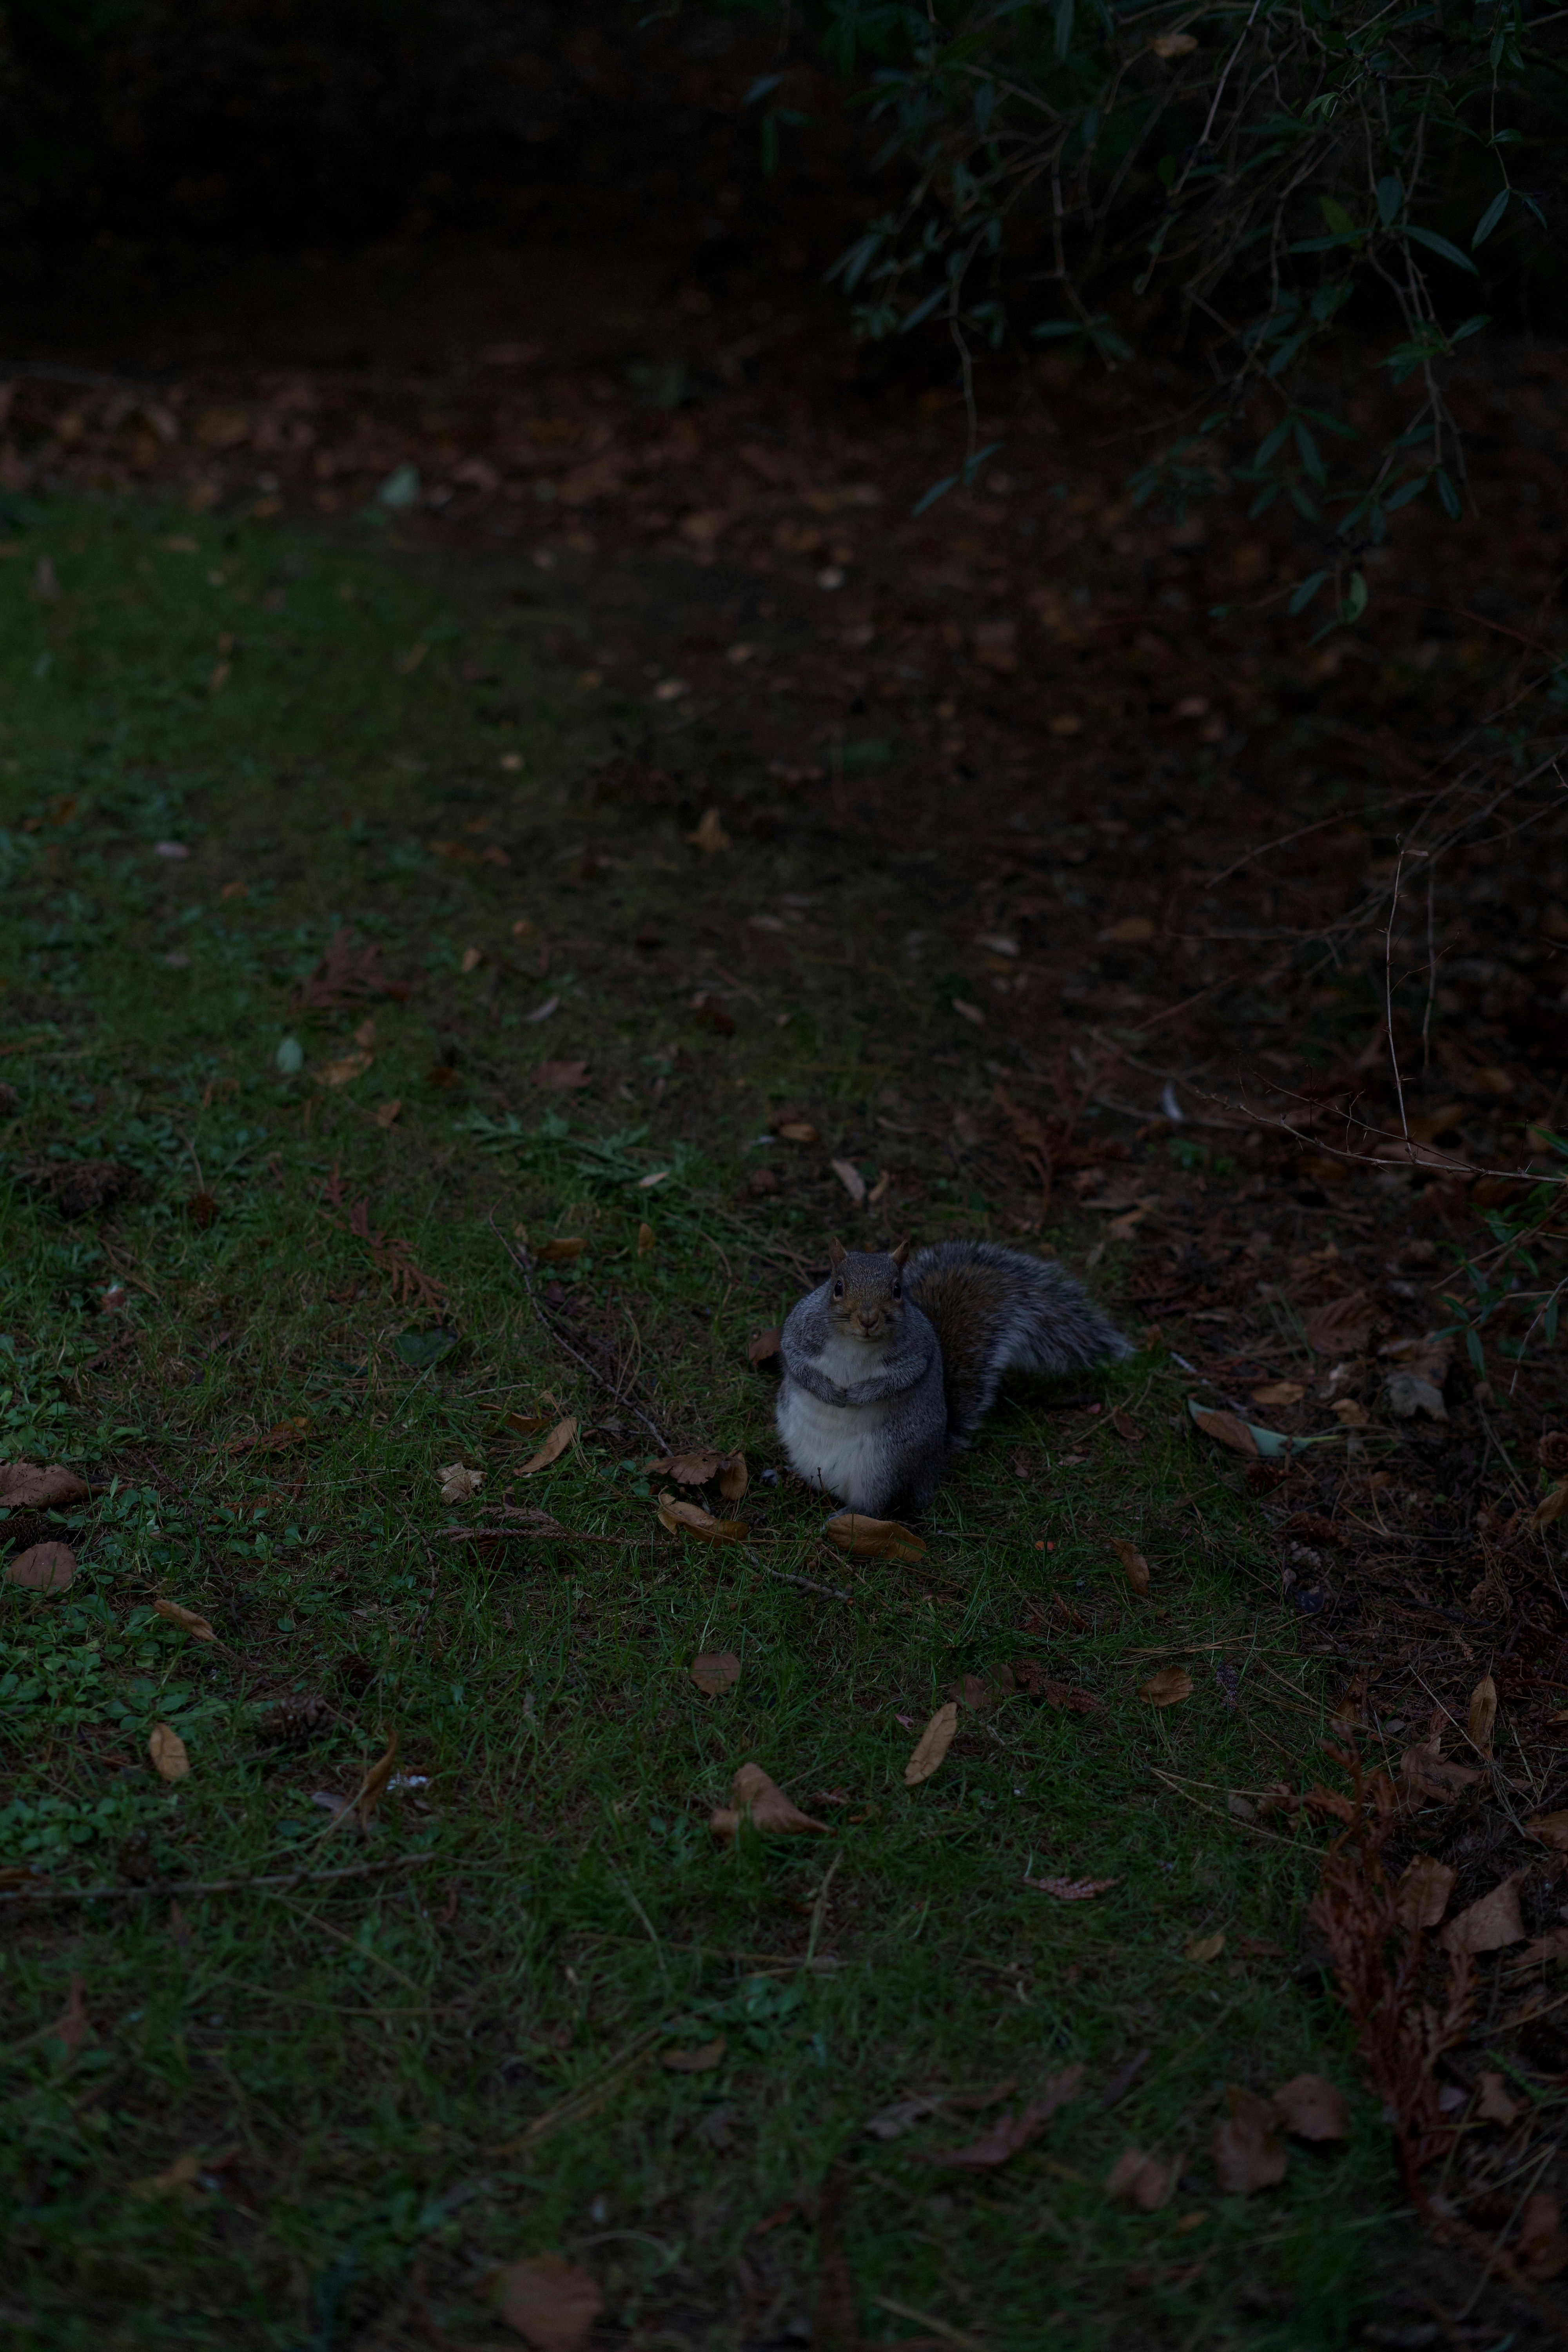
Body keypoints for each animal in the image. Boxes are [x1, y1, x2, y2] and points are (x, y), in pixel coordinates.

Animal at [776, 1237, 1129, 1516]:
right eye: (838, 1287)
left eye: (897, 1291)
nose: (868, 1319)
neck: (856, 1343)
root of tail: (931, 1469)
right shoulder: (800, 1329)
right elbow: (795, 1359)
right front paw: (828, 1391)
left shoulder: (918, 1350)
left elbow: (901, 1378)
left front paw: (860, 1394)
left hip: (886, 1464)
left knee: (879, 1505)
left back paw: (850, 1514)